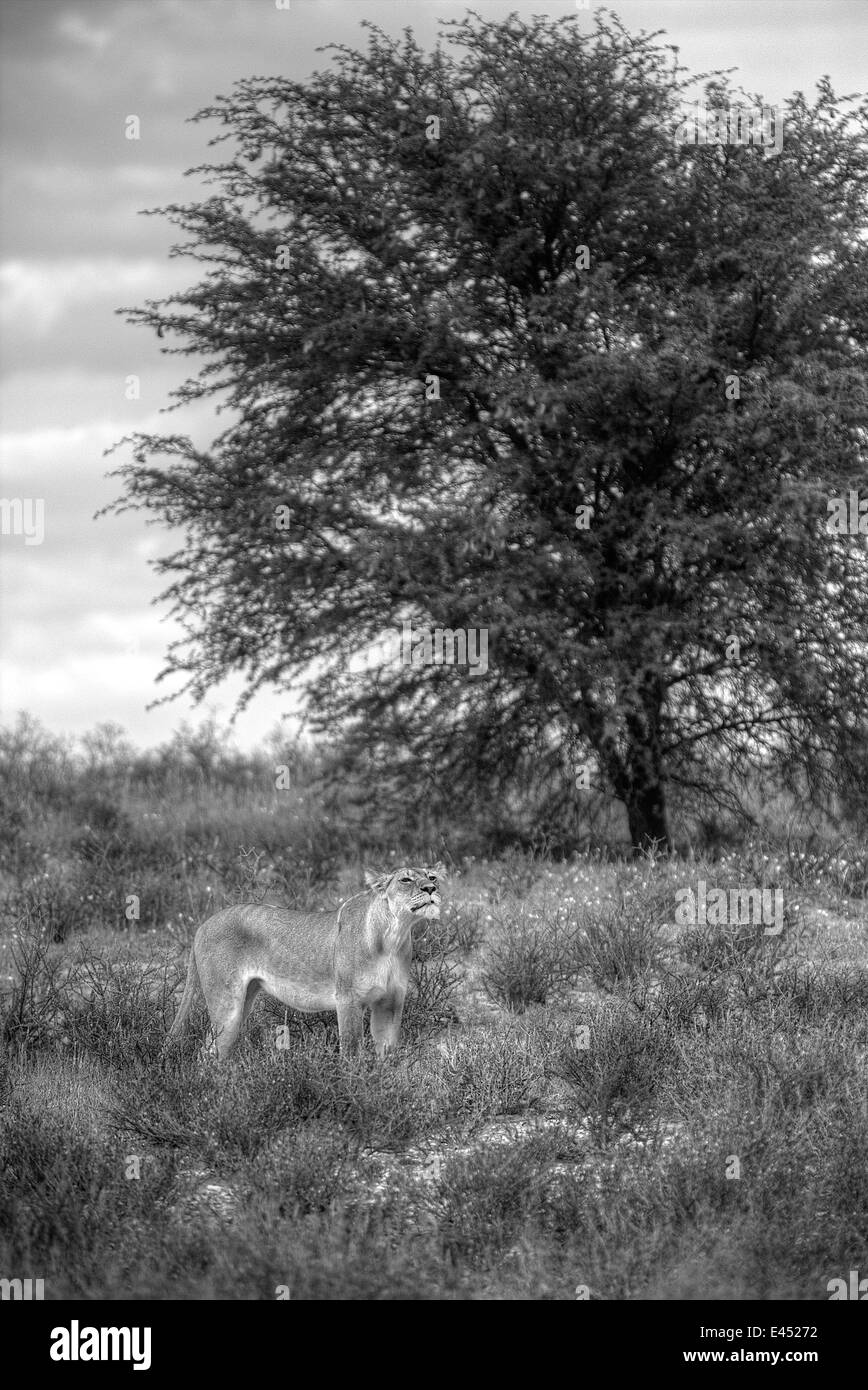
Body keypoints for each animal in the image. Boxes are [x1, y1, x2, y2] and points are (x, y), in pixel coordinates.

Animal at [165, 864, 444, 1059]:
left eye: (432, 877)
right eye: (406, 879)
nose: (430, 889)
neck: (394, 936)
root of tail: (202, 925)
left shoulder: (391, 1002)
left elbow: (387, 1053)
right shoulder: (348, 999)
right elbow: (352, 1051)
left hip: (244, 999)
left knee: (214, 1050)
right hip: (227, 1004)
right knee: (210, 1051)